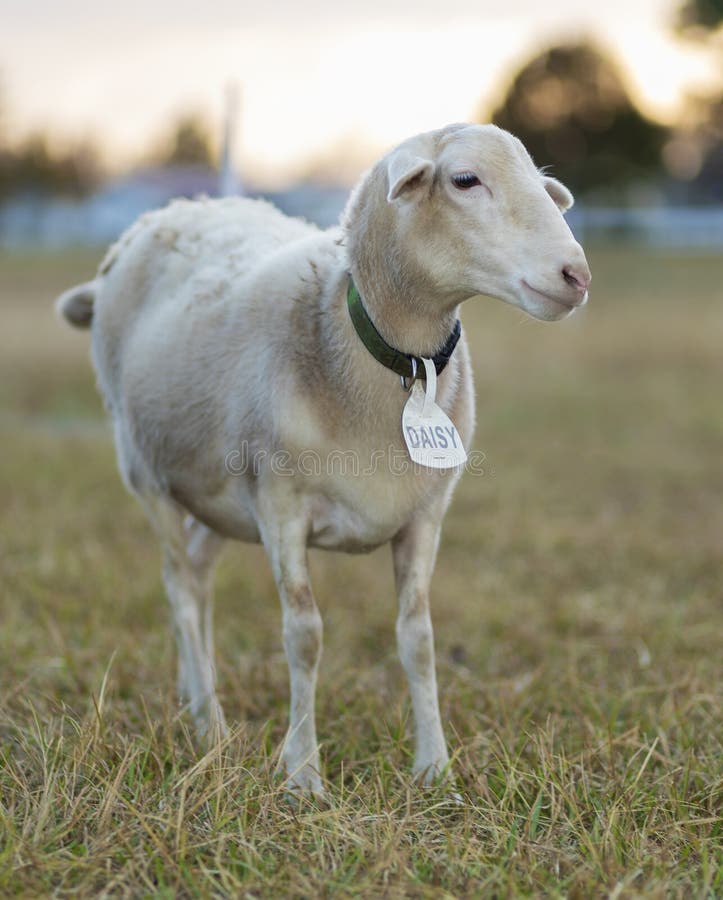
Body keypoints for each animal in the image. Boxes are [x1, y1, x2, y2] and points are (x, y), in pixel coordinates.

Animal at [56, 123, 590, 796]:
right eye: (465, 180)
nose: (576, 274)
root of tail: (170, 211)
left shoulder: (425, 515)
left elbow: (418, 637)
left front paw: (434, 768)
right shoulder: (281, 508)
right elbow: (303, 635)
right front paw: (304, 773)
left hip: (220, 492)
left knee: (198, 578)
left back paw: (194, 699)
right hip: (146, 470)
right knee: (178, 584)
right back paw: (211, 722)